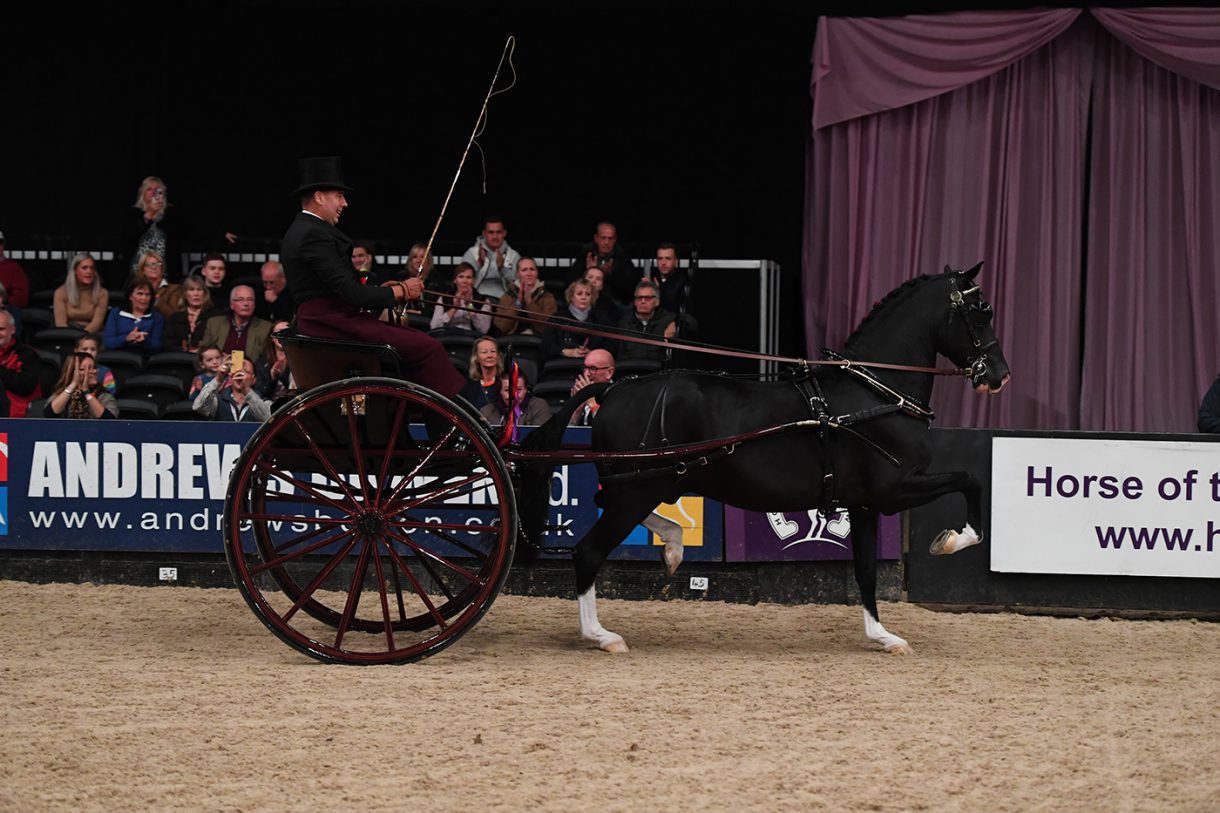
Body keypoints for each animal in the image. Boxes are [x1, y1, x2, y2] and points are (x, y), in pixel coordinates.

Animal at [515, 263, 1010, 655]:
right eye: (981, 310)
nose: (1000, 375)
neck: (872, 396)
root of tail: (613, 388)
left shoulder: (865, 504)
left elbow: (867, 572)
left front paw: (882, 636)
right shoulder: (896, 489)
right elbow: (971, 481)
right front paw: (952, 539)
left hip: (646, 483)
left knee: (605, 507)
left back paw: (673, 547)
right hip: (638, 490)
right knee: (588, 551)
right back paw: (601, 635)